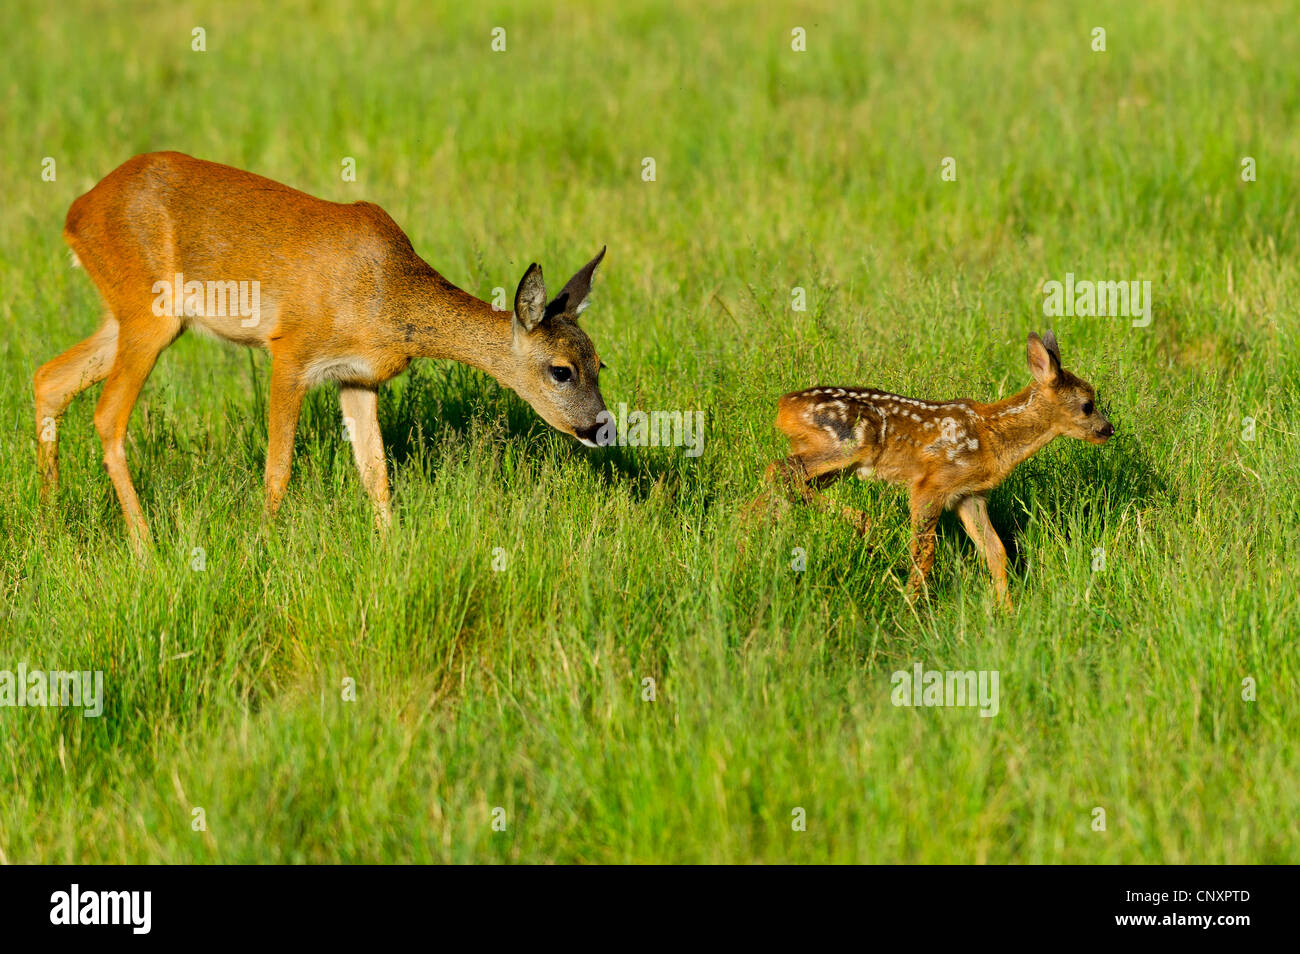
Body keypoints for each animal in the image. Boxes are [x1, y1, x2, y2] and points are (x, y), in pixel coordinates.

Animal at [35, 152, 611, 554]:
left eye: (600, 363)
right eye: (561, 370)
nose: (602, 428)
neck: (388, 297)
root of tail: (74, 213)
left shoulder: (358, 377)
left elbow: (376, 474)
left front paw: (391, 553)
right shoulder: (290, 351)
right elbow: (278, 469)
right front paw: (261, 550)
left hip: (129, 317)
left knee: (48, 379)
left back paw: (51, 523)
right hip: (148, 312)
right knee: (107, 415)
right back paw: (145, 548)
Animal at [764, 331, 1113, 611]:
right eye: (1088, 404)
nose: (1109, 429)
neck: (992, 438)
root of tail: (783, 406)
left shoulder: (970, 495)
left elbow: (995, 550)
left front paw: (1007, 611)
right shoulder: (930, 483)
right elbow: (924, 551)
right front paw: (909, 606)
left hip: (836, 465)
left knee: (787, 480)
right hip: (846, 445)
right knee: (778, 470)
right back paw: (864, 524)